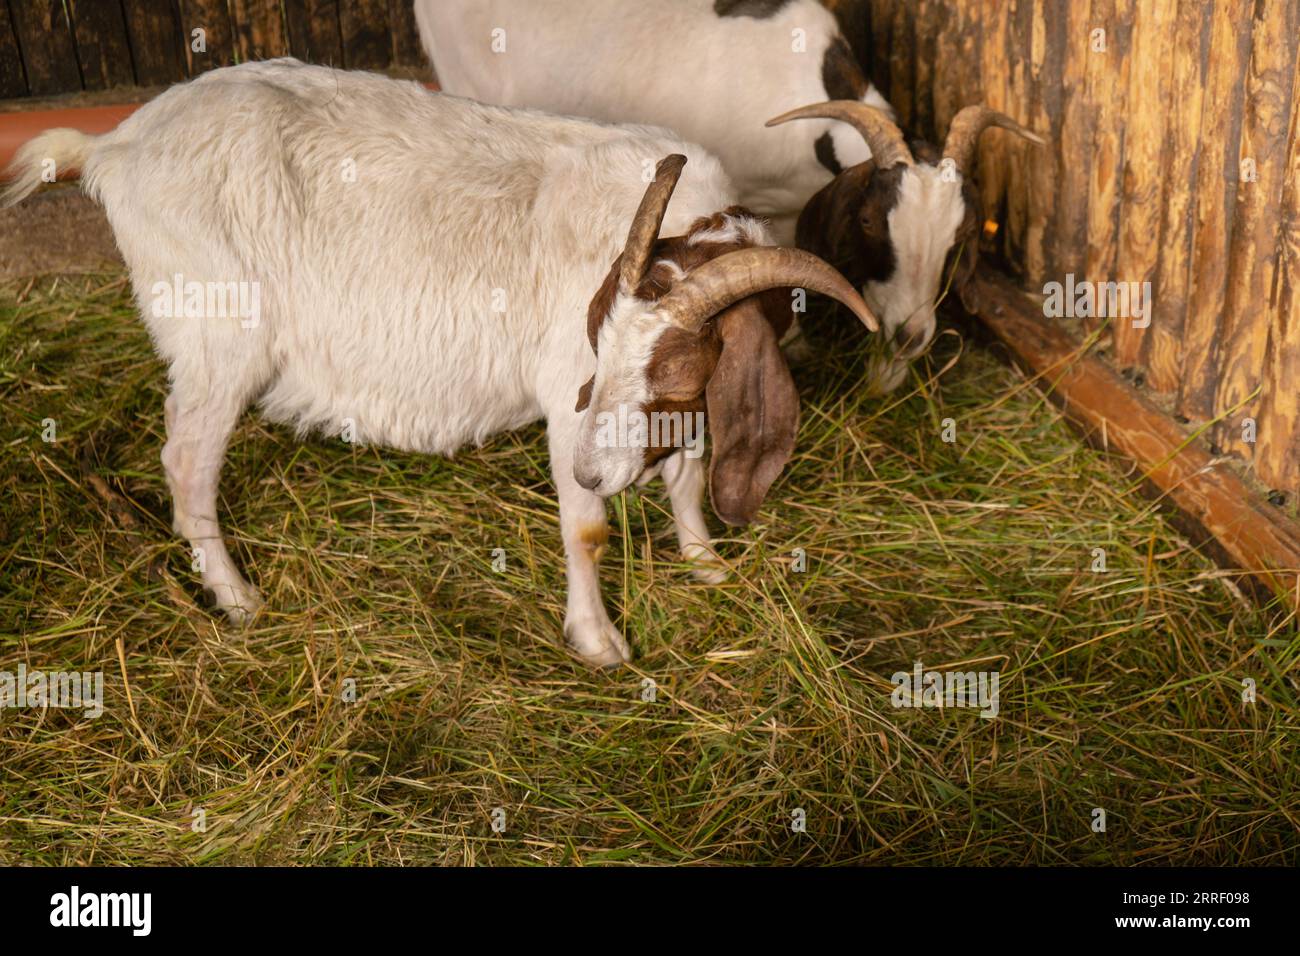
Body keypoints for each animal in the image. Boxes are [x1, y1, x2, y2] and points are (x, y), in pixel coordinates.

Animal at [3, 59, 875, 667]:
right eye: (598, 344)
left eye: (678, 376)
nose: (594, 472)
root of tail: (114, 144)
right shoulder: (568, 397)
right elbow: (587, 530)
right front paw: (599, 642)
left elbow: (689, 476)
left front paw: (704, 563)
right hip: (219, 335)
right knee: (186, 461)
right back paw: (239, 599)